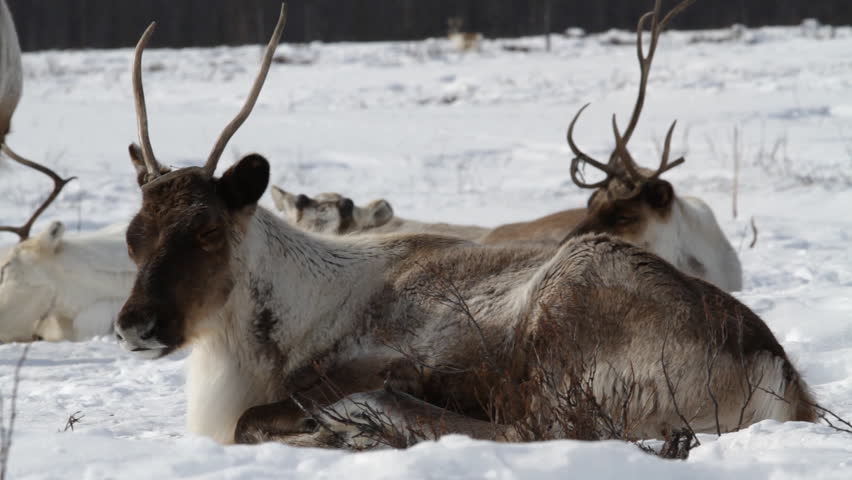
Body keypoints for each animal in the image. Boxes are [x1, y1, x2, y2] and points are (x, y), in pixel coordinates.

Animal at [115, 0, 814, 449]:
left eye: (208, 231)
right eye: (132, 234)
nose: (133, 325)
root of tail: (777, 374)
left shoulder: (378, 362)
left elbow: (251, 422)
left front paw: (331, 422)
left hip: (571, 314)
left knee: (538, 430)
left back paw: (355, 425)